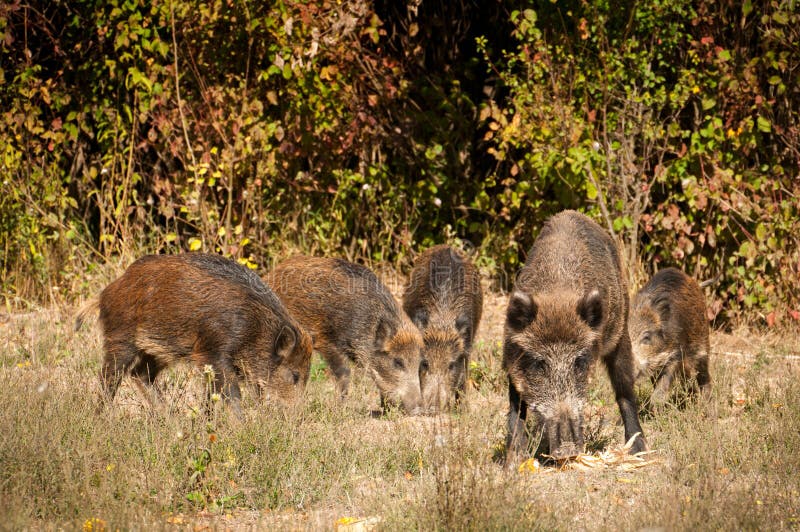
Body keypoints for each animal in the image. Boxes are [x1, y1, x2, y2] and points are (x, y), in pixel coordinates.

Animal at [75, 253, 312, 414]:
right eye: (294, 375)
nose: (296, 416)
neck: (254, 327)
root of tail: (106, 293)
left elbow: (211, 396)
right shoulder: (214, 352)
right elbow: (231, 392)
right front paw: (241, 427)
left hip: (158, 351)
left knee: (140, 374)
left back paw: (170, 419)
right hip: (120, 338)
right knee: (110, 377)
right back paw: (102, 416)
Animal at [267, 256, 424, 414]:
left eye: (418, 364)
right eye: (398, 362)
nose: (418, 409)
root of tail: (272, 273)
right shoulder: (327, 341)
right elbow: (344, 373)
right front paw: (339, 408)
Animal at [402, 245, 483, 413]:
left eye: (451, 365)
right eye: (425, 363)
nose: (434, 408)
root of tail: (447, 246)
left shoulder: (466, 348)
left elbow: (463, 377)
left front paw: (463, 411)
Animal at [503, 210, 647, 461]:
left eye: (579, 362)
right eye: (538, 364)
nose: (567, 450)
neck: (557, 297)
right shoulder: (512, 361)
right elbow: (516, 409)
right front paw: (514, 461)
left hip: (621, 330)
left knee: (624, 390)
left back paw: (639, 451)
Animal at [629, 267, 711, 407]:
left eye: (646, 337)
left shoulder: (675, 355)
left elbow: (660, 391)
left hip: (702, 344)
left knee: (704, 376)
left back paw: (706, 405)